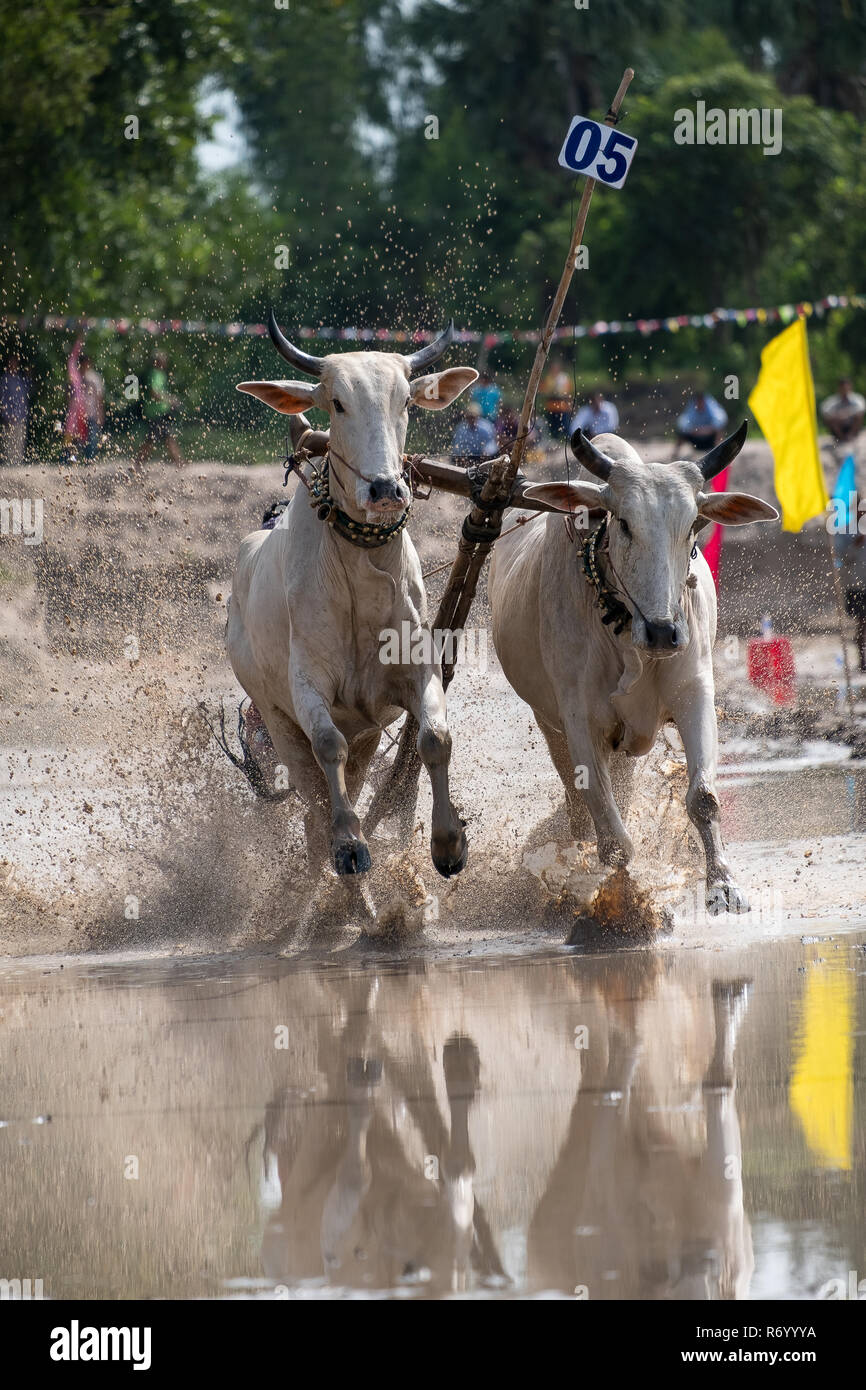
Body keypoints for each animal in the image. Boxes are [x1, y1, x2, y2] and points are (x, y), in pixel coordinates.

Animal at [227, 312, 477, 880]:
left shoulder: (417, 668)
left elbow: (435, 738)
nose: (386, 489)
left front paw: (448, 842)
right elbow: (328, 747)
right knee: (313, 795)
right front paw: (348, 844)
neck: (361, 580)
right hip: (275, 720)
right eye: (337, 402)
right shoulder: (307, 688)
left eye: (405, 401)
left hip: (367, 731)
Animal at [488, 423, 779, 913]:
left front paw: (723, 886)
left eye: (693, 526)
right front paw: (623, 901)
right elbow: (609, 831)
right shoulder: (578, 719)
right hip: (548, 721)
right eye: (623, 522)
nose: (664, 632)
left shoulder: (694, 693)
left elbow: (703, 798)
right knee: (578, 808)